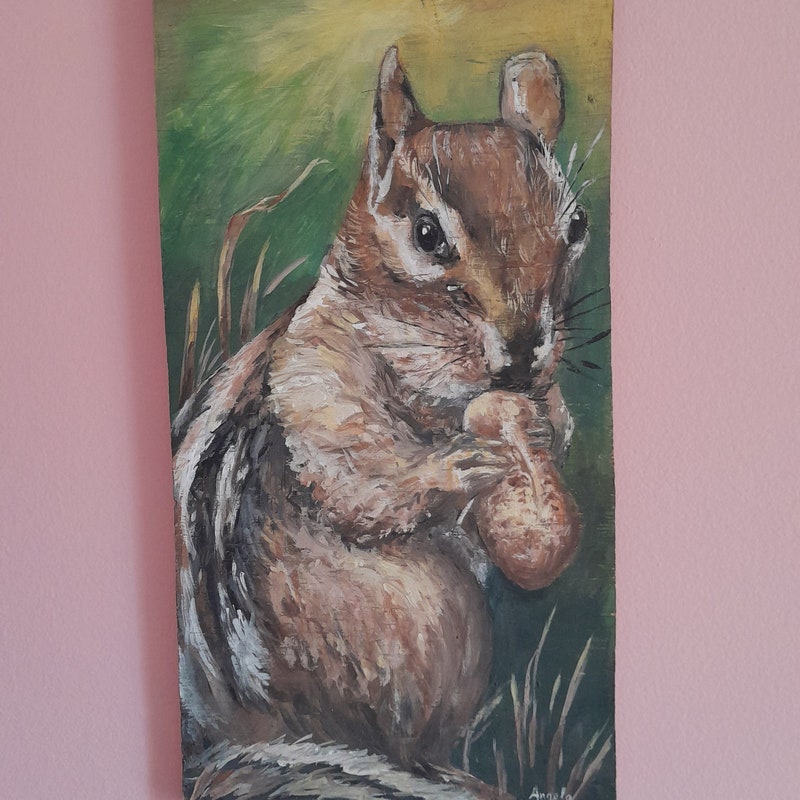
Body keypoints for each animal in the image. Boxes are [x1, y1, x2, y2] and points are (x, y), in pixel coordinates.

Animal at [172, 46, 588, 800]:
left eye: (577, 227)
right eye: (427, 234)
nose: (522, 353)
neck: (435, 390)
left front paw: (540, 425)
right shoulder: (315, 378)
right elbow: (360, 476)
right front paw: (463, 464)